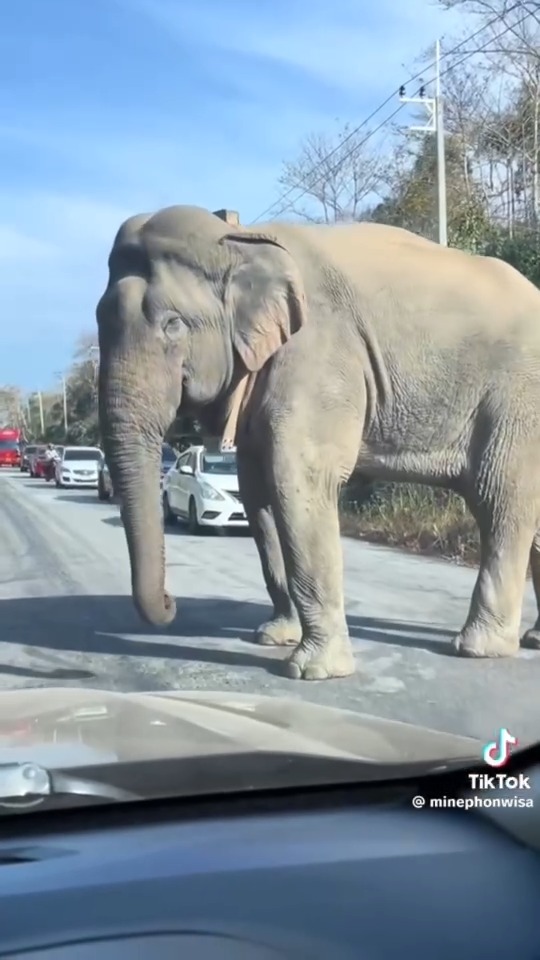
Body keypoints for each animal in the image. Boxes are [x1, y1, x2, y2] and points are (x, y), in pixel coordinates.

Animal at [96, 204, 540, 681]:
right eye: (100, 321)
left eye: (173, 324)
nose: (171, 603)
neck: (239, 242)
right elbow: (258, 492)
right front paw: (273, 637)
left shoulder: (318, 354)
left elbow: (297, 477)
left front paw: (313, 671)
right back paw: (532, 640)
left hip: (518, 400)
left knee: (500, 497)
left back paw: (478, 647)